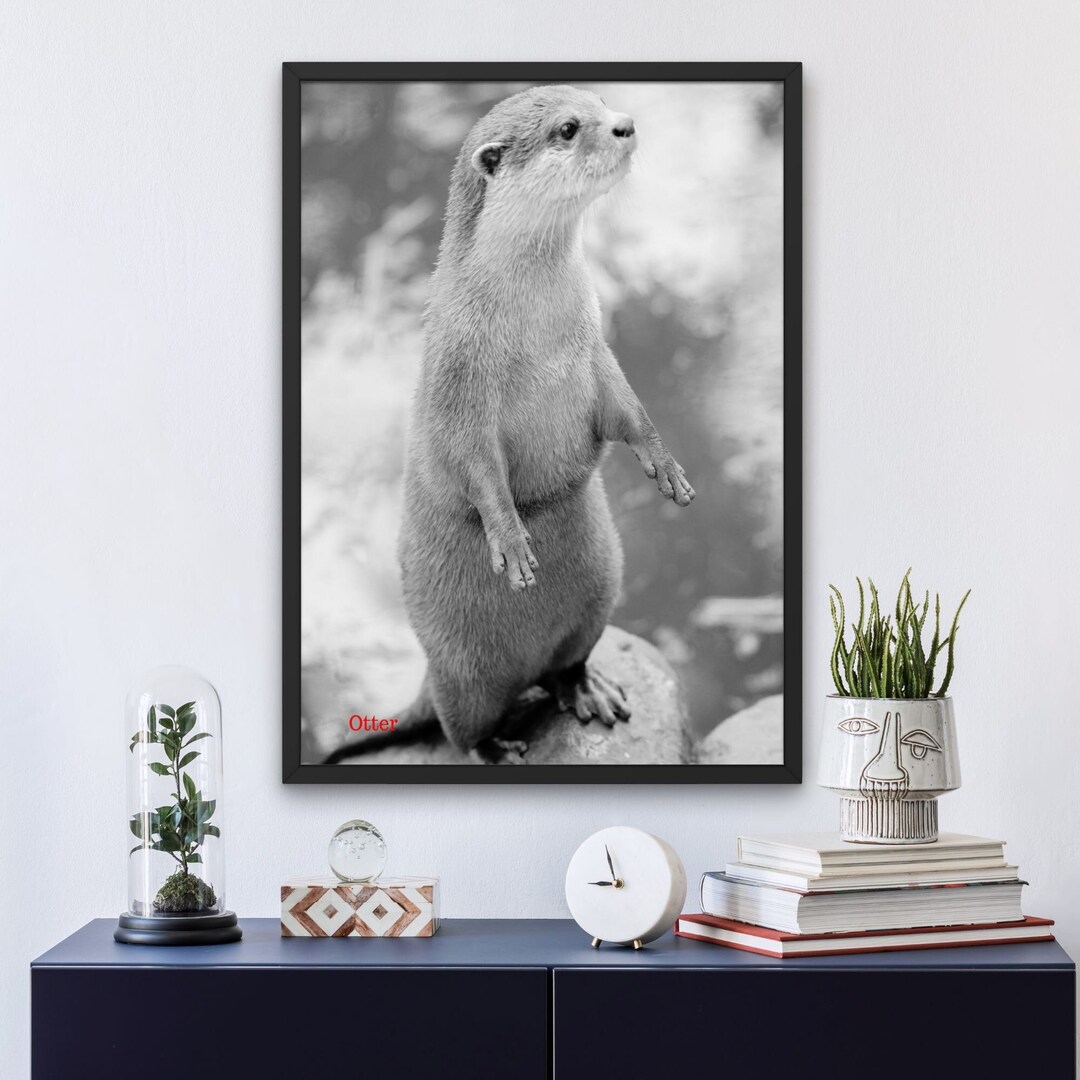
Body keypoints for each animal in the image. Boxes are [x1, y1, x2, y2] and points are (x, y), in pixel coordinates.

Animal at [325, 85, 694, 765]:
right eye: (569, 128)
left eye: (602, 101)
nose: (626, 125)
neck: (537, 330)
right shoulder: (458, 376)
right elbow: (475, 466)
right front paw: (513, 543)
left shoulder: (593, 348)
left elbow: (628, 410)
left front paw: (667, 467)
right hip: (461, 671)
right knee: (458, 726)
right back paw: (495, 748)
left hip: (598, 598)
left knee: (565, 665)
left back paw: (589, 691)